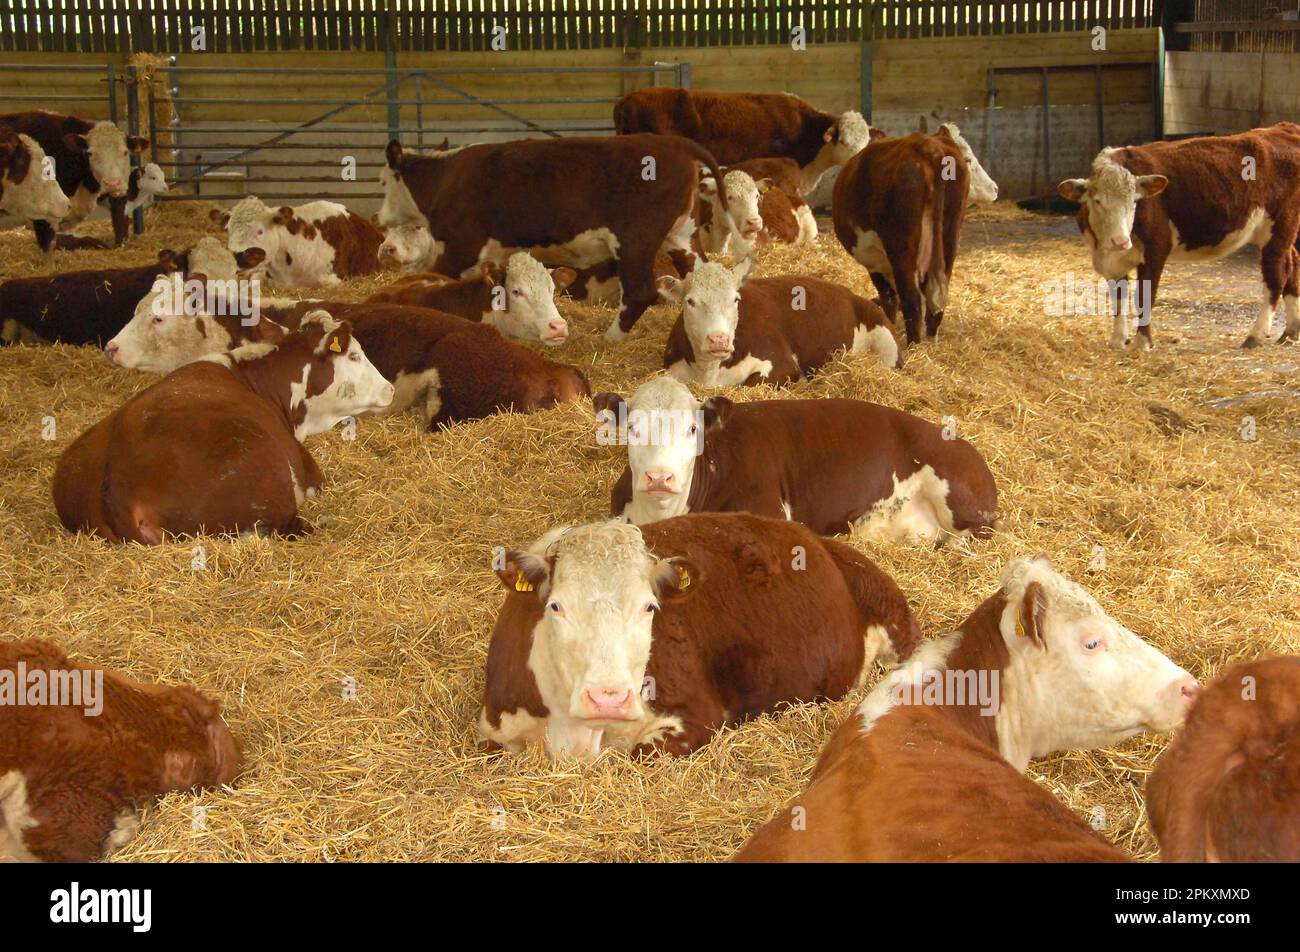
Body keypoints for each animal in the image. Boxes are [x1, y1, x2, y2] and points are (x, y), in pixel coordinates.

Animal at [379, 134, 740, 341]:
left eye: (383, 183)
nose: (380, 218)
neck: (445, 178)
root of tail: (674, 143)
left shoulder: (458, 249)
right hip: (683, 237)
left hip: (635, 242)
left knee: (640, 293)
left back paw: (609, 338)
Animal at [475, 513, 922, 759]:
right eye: (556, 606)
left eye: (649, 606)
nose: (609, 698)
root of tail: (811, 537)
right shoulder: (491, 732)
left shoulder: (695, 717)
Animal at [658, 259, 900, 386]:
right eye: (690, 301)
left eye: (735, 299)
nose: (718, 340)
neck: (710, 371)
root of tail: (849, 293)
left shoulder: (781, 362)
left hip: (887, 343)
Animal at [833, 123, 997, 345]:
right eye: (970, 159)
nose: (995, 188)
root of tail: (928, 146)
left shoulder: (875, 263)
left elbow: (889, 299)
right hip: (949, 239)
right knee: (936, 301)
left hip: (902, 249)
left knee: (911, 300)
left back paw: (913, 346)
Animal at [1057, 124, 1300, 350]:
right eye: (1097, 201)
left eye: (1135, 201)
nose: (1120, 241)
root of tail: (1283, 128)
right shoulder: (1112, 262)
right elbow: (1119, 298)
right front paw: (1118, 340)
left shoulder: (1156, 248)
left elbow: (1144, 297)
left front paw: (1142, 343)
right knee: (1293, 263)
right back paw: (1290, 331)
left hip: (1278, 228)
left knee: (1276, 274)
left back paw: (1255, 335)